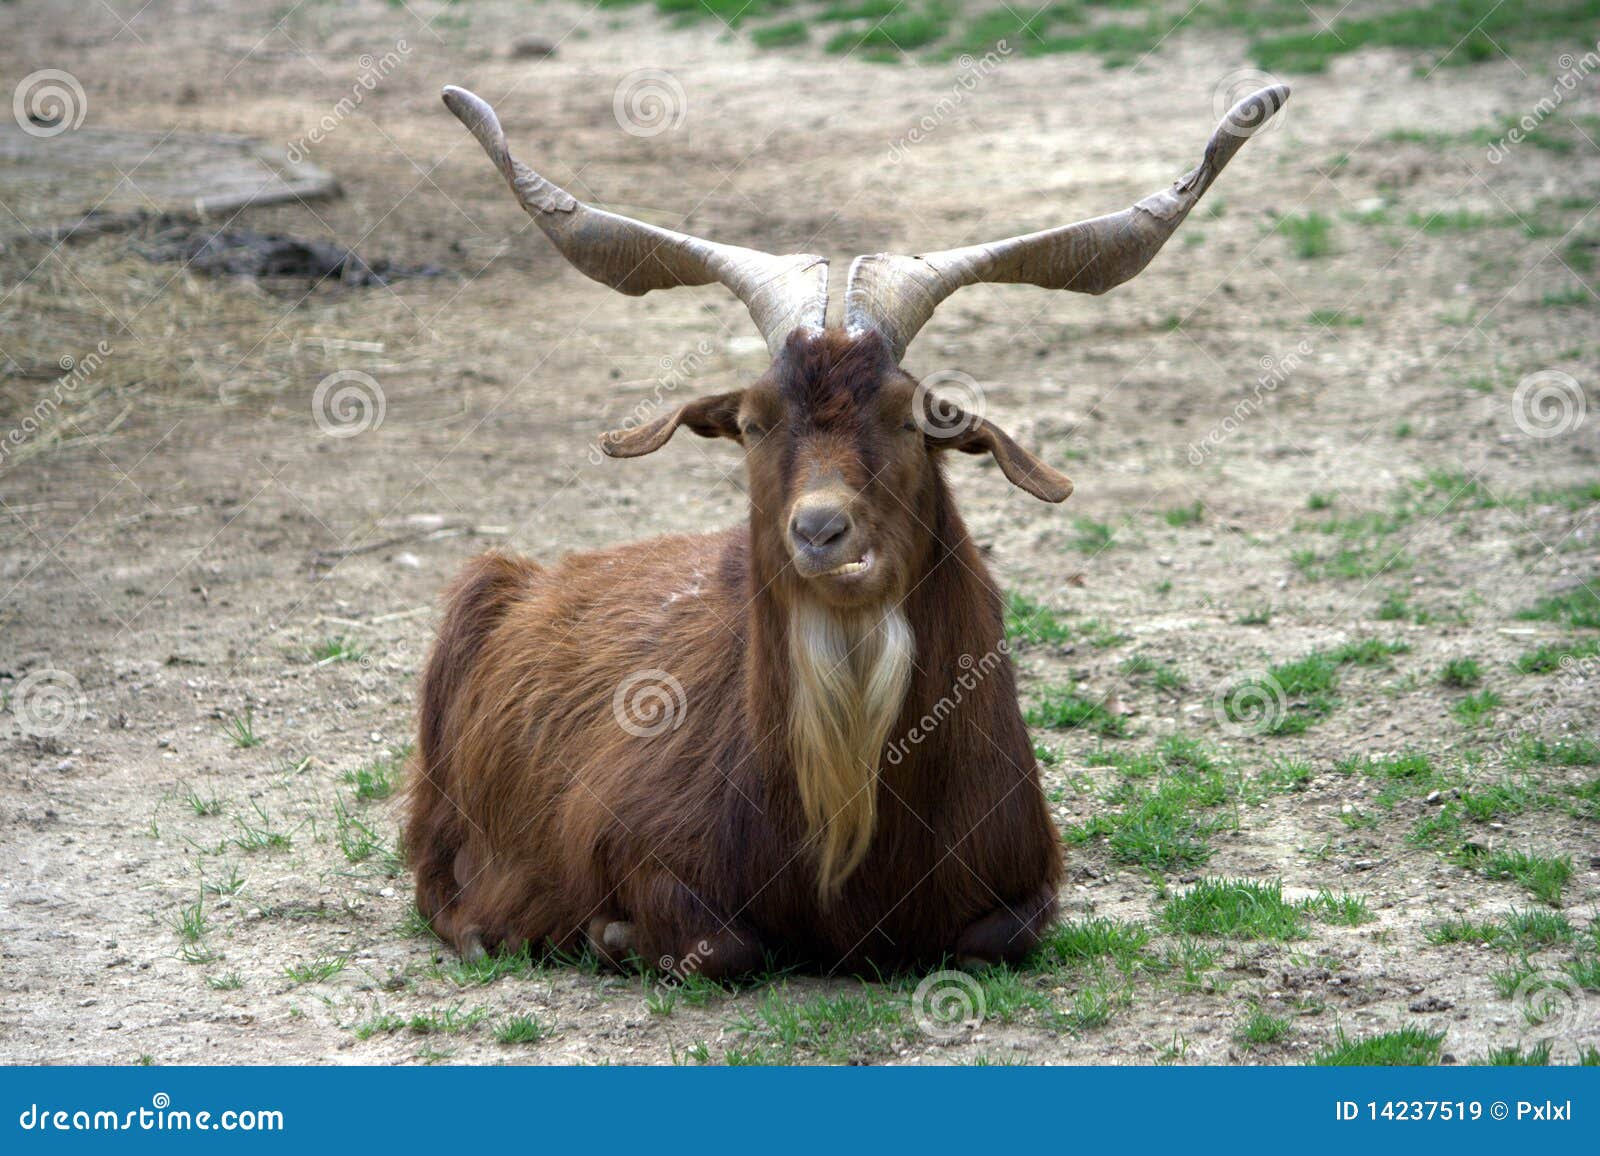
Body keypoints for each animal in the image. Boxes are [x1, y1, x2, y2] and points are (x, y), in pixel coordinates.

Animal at [408, 83, 1288, 977]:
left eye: (914, 419)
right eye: (753, 422)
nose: (823, 531)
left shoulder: (1024, 879)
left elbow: (997, 937)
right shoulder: (631, 841)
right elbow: (721, 944)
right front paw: (607, 932)